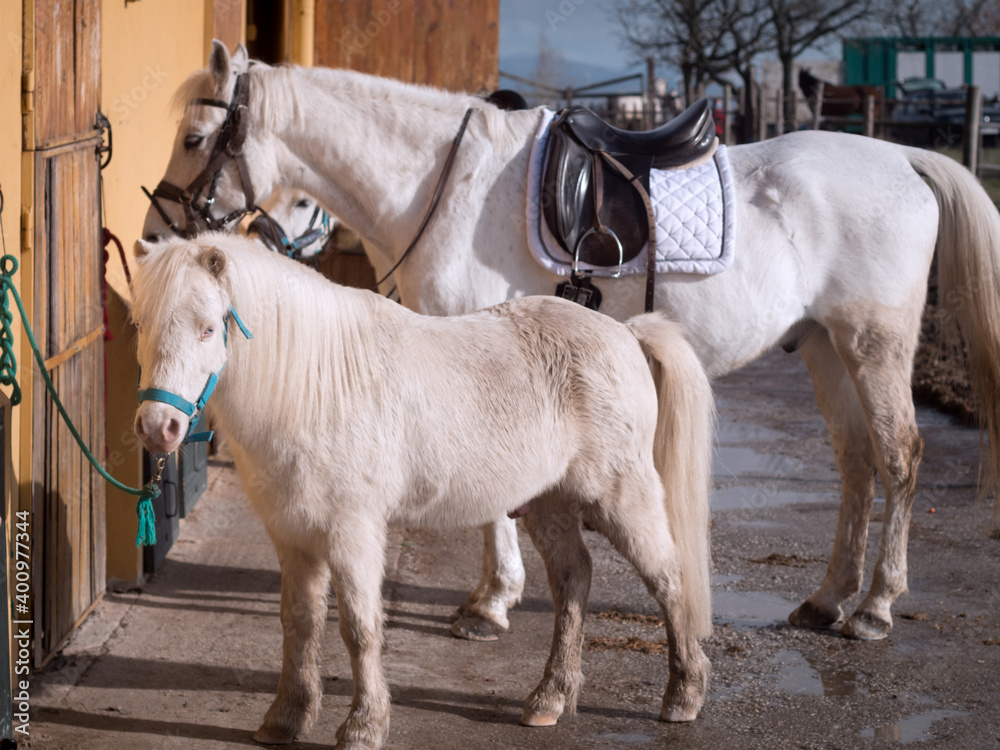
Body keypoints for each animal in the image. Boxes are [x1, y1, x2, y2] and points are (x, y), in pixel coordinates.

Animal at [130, 231, 715, 748]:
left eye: (208, 329)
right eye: (141, 324)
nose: (159, 427)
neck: (316, 384)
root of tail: (625, 333)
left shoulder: (353, 532)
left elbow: (360, 628)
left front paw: (363, 727)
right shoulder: (293, 535)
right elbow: (299, 623)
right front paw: (286, 718)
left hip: (622, 495)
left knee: (668, 577)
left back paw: (683, 696)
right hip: (548, 504)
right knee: (573, 579)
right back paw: (549, 698)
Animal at [143, 41, 1000, 643]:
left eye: (196, 136)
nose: (157, 229)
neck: (443, 185)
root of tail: (907, 158)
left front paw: (489, 603)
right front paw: (495, 594)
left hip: (874, 344)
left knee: (898, 457)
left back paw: (876, 607)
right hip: (823, 345)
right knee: (857, 464)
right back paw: (827, 600)